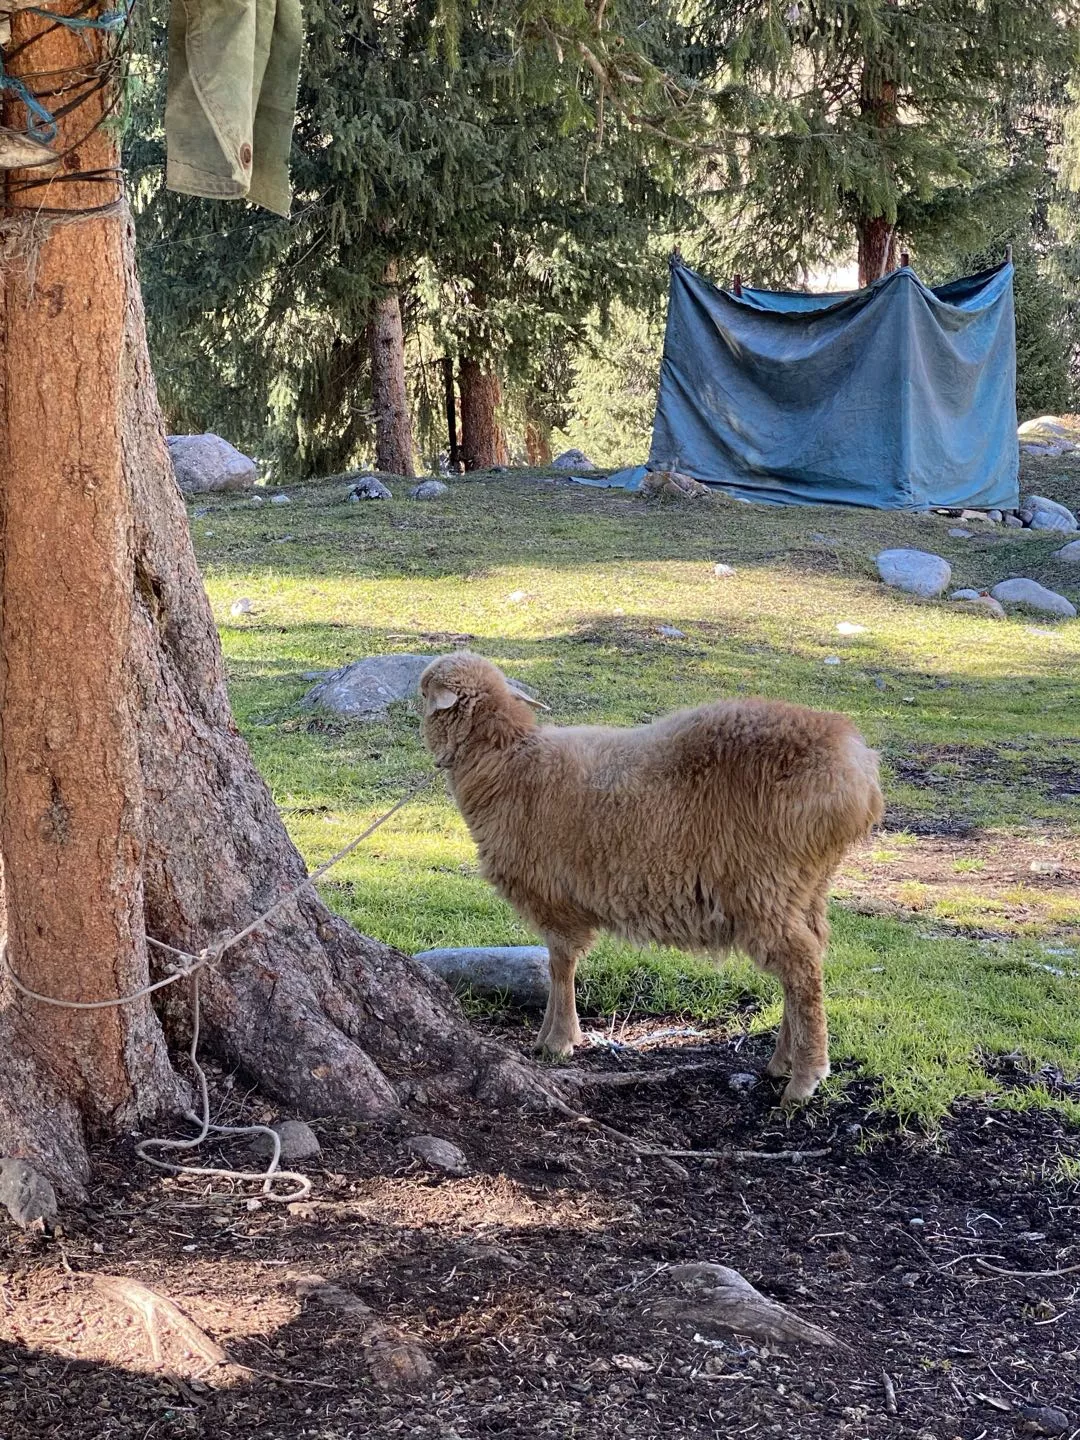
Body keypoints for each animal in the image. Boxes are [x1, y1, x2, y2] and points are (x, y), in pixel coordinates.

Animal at [419, 653, 883, 1103]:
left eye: (424, 693)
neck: (507, 759)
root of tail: (858, 771)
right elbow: (557, 965)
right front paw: (552, 1036)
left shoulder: (554, 899)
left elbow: (561, 965)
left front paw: (557, 1040)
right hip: (805, 886)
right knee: (806, 959)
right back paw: (782, 1060)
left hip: (764, 883)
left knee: (801, 967)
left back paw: (804, 1079)